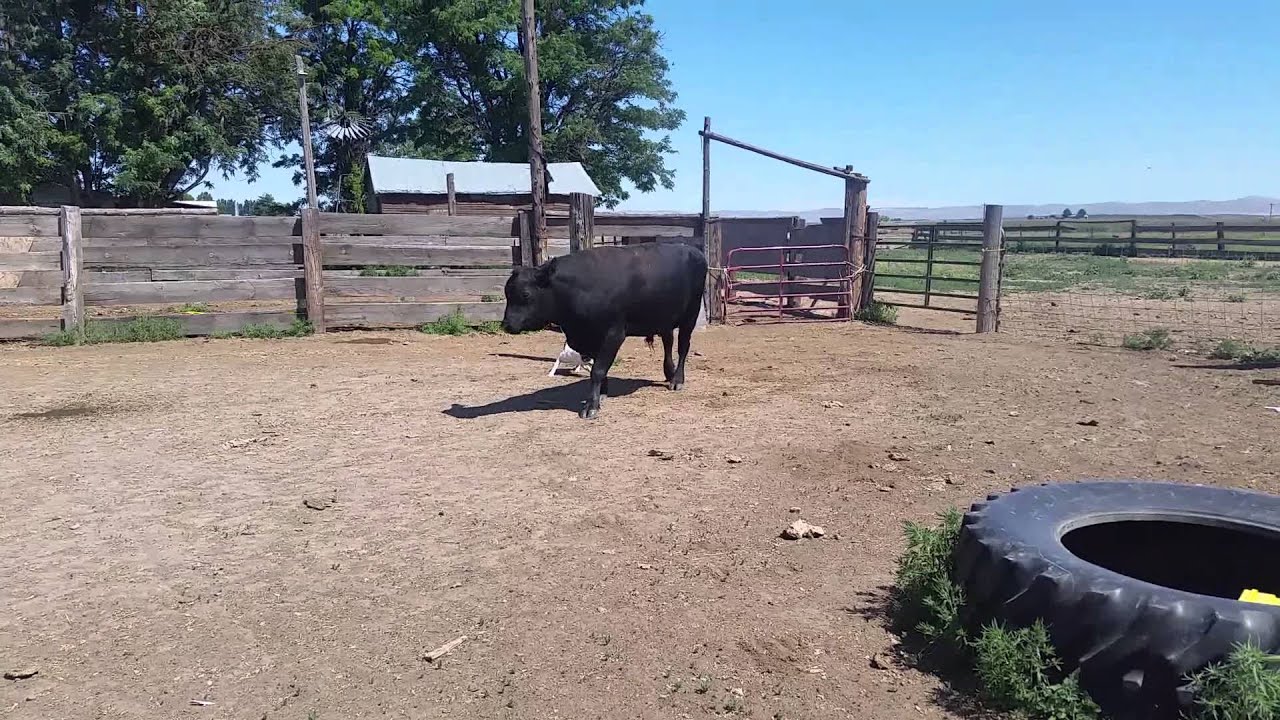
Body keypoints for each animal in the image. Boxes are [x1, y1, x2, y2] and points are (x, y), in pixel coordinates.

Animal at [501, 241, 708, 419]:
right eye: (507, 293)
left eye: (525, 294)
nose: (506, 324)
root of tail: (693, 250)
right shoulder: (592, 337)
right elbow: (599, 368)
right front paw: (602, 393)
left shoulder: (613, 334)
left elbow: (598, 370)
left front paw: (592, 405)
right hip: (664, 318)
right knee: (668, 343)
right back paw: (669, 373)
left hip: (691, 314)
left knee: (683, 347)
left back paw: (677, 380)